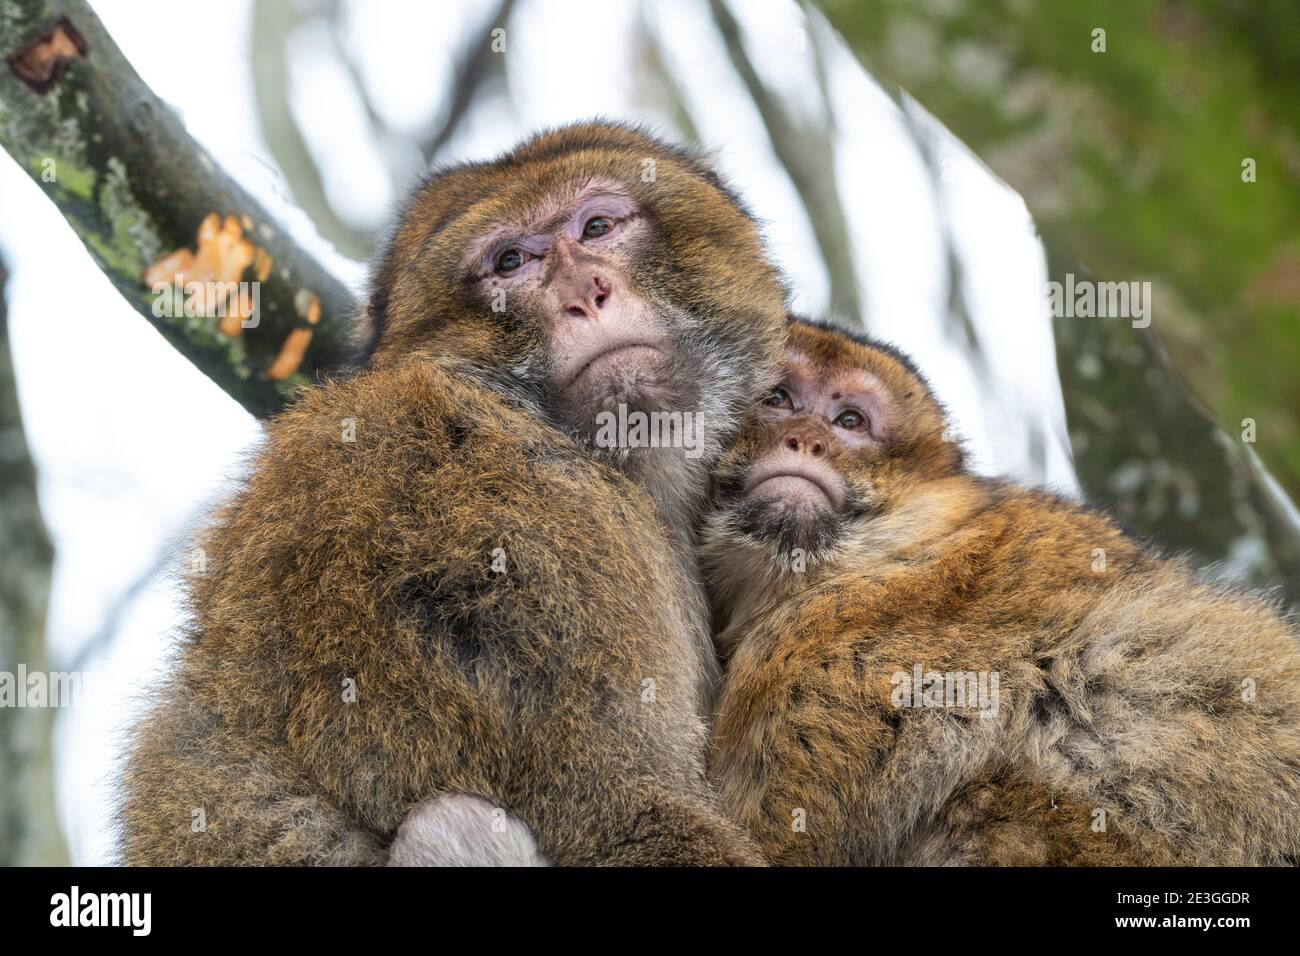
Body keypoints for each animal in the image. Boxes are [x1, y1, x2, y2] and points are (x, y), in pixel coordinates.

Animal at [118, 122, 790, 866]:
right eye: (509, 262)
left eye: (598, 226)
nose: (585, 292)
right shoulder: (504, 513)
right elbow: (623, 813)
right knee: (456, 822)